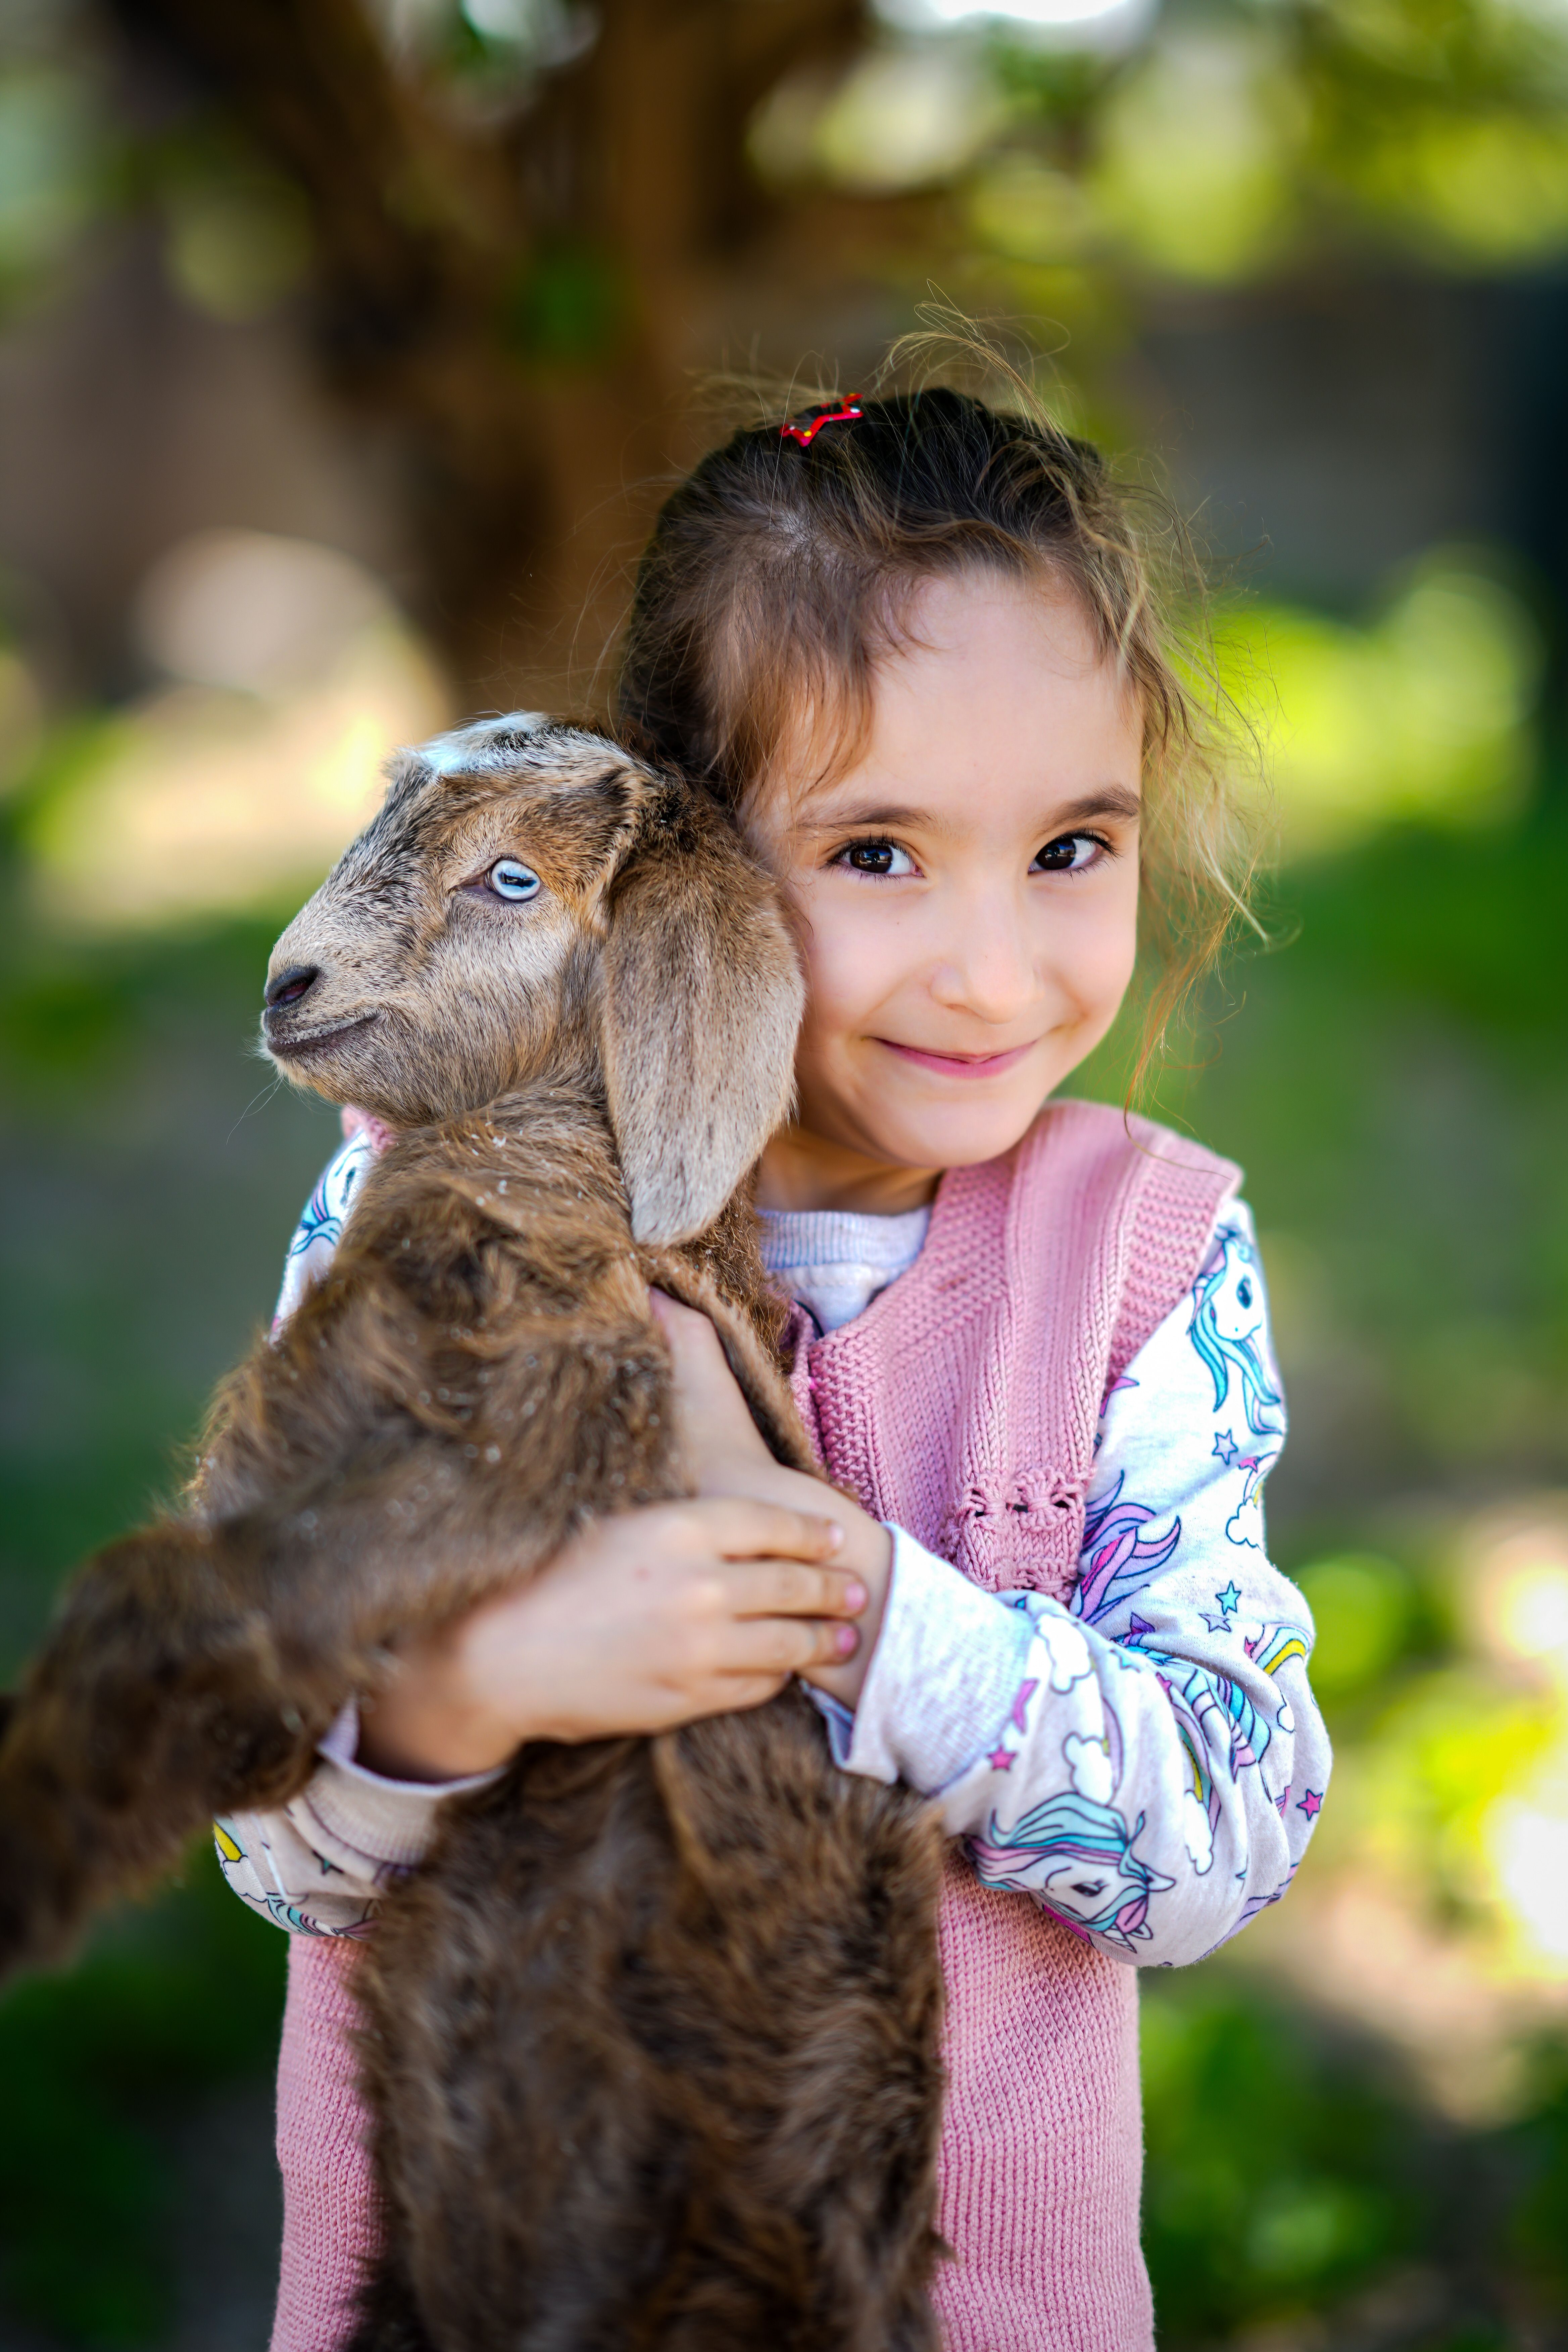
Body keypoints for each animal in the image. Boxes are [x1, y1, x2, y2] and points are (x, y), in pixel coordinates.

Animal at [0, 717, 945, 2351]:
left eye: (510, 879)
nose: (287, 984)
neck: (552, 1159)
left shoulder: (511, 1422)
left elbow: (171, 1598)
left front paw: (29, 1847)